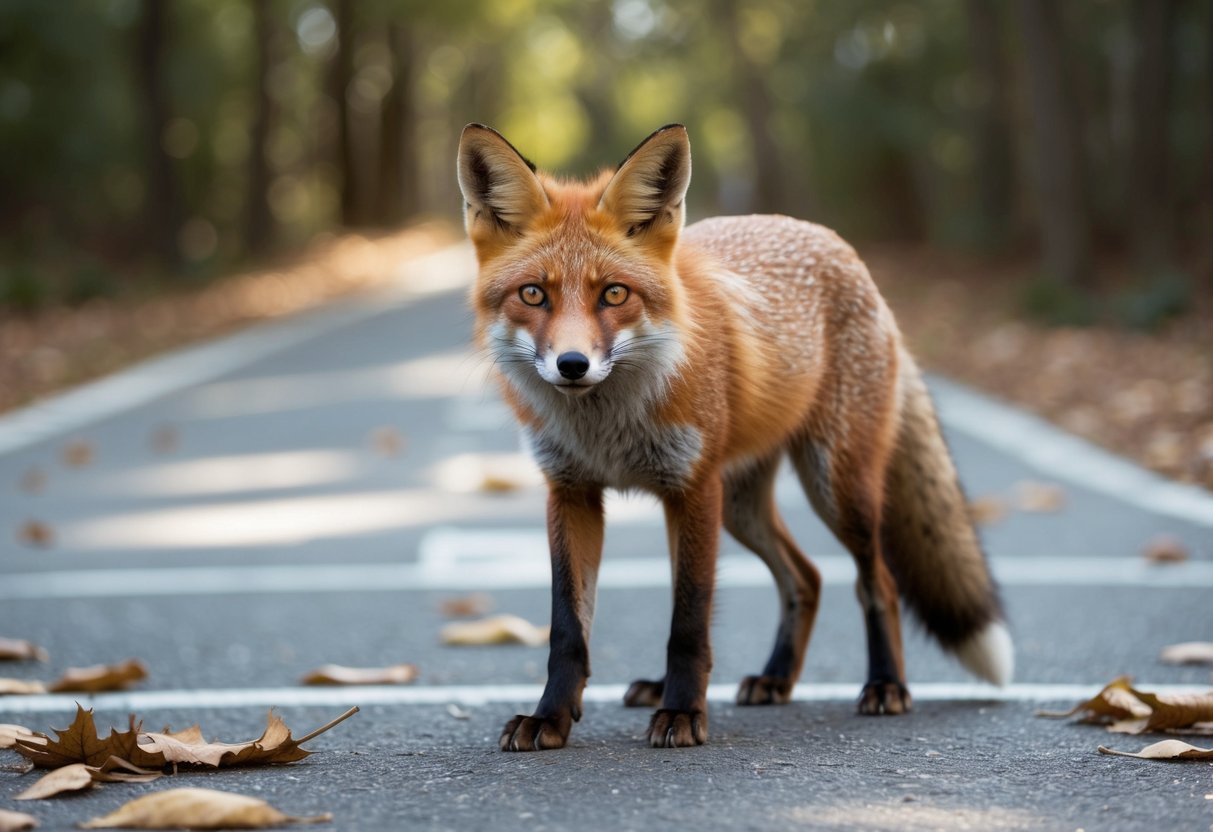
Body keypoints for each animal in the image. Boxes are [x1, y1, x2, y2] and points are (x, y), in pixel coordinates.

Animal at [456, 123, 1013, 752]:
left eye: (614, 294)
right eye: (533, 295)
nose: (572, 365)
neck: (607, 427)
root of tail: (842, 249)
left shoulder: (694, 488)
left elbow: (689, 621)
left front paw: (681, 713)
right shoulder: (572, 493)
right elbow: (568, 631)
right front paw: (550, 717)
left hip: (836, 488)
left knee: (879, 583)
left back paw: (886, 686)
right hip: (741, 507)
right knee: (806, 577)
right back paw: (773, 679)